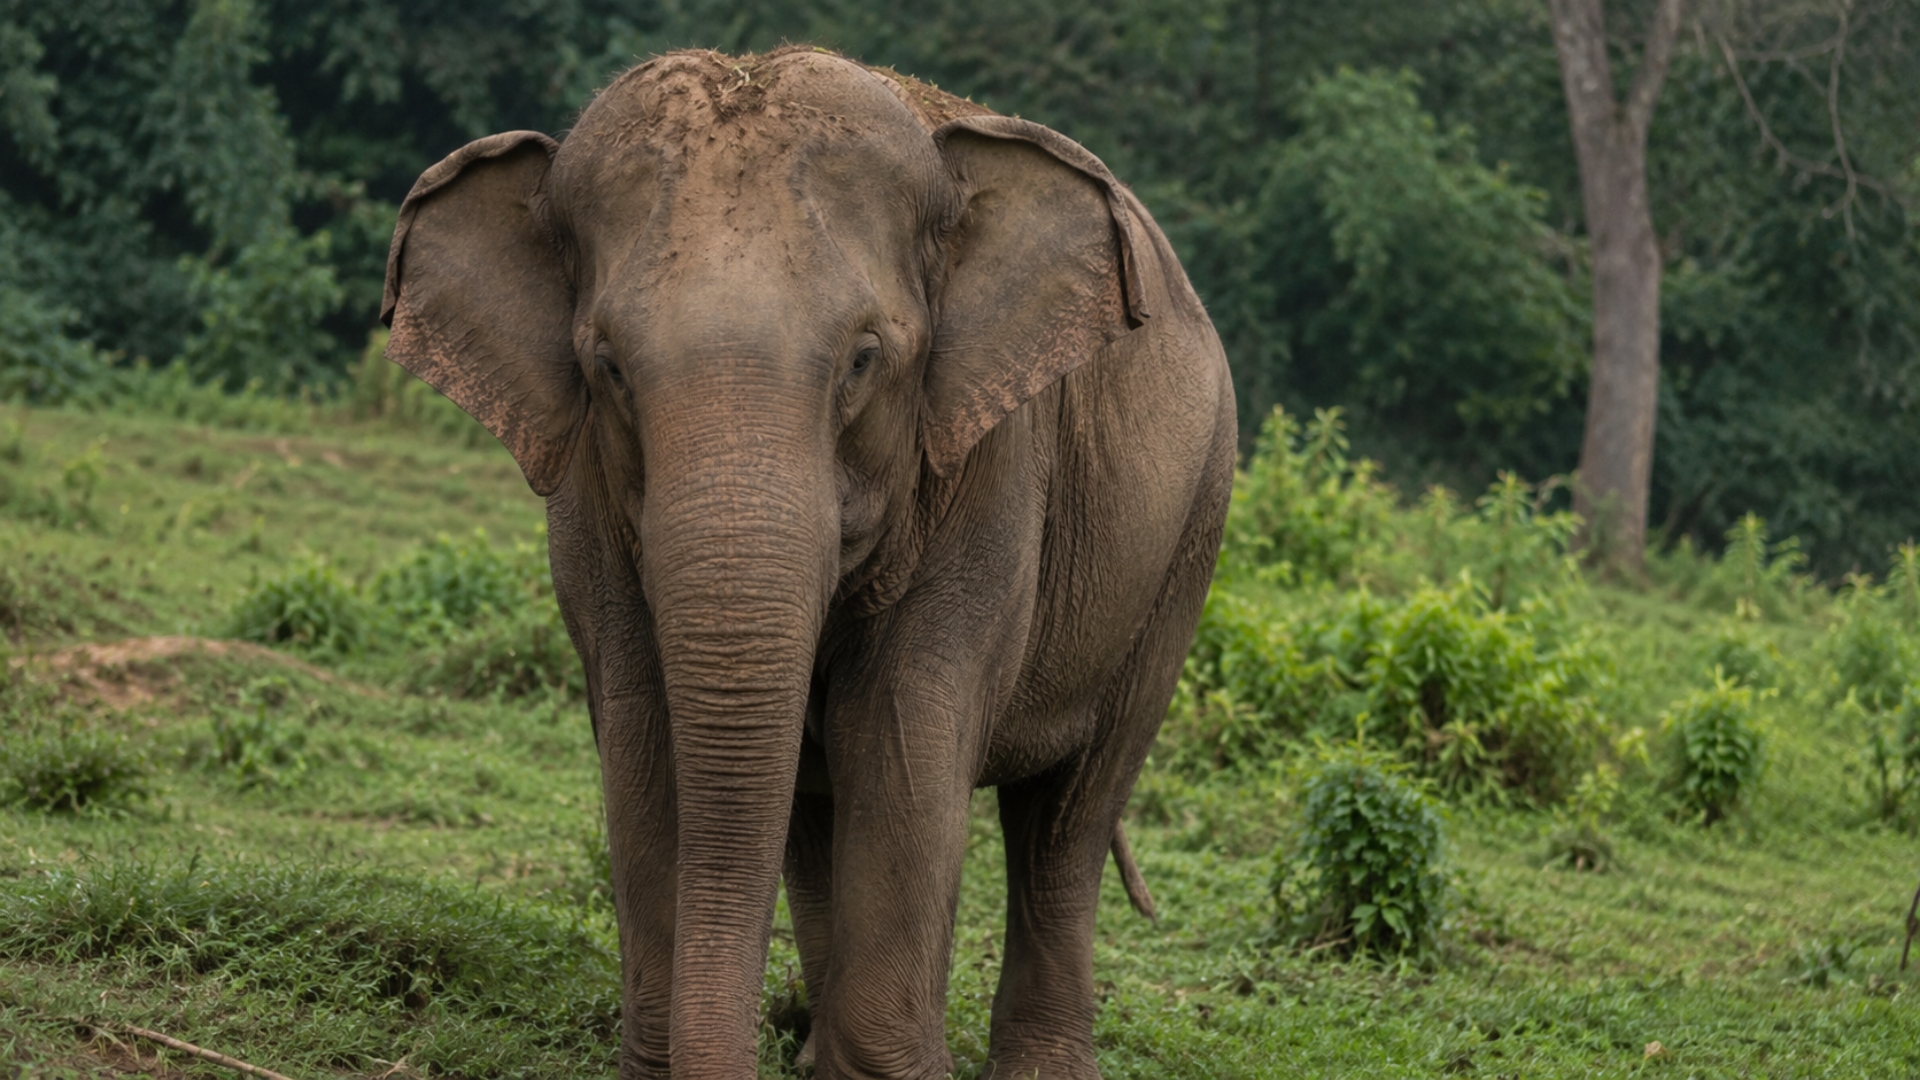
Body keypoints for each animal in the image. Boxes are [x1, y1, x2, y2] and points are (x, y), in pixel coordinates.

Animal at [379, 46, 1234, 1080]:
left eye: (864, 360)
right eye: (607, 368)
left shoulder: (987, 463)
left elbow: (900, 732)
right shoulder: (587, 496)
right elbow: (643, 727)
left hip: (1189, 533)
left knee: (1070, 812)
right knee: (819, 810)